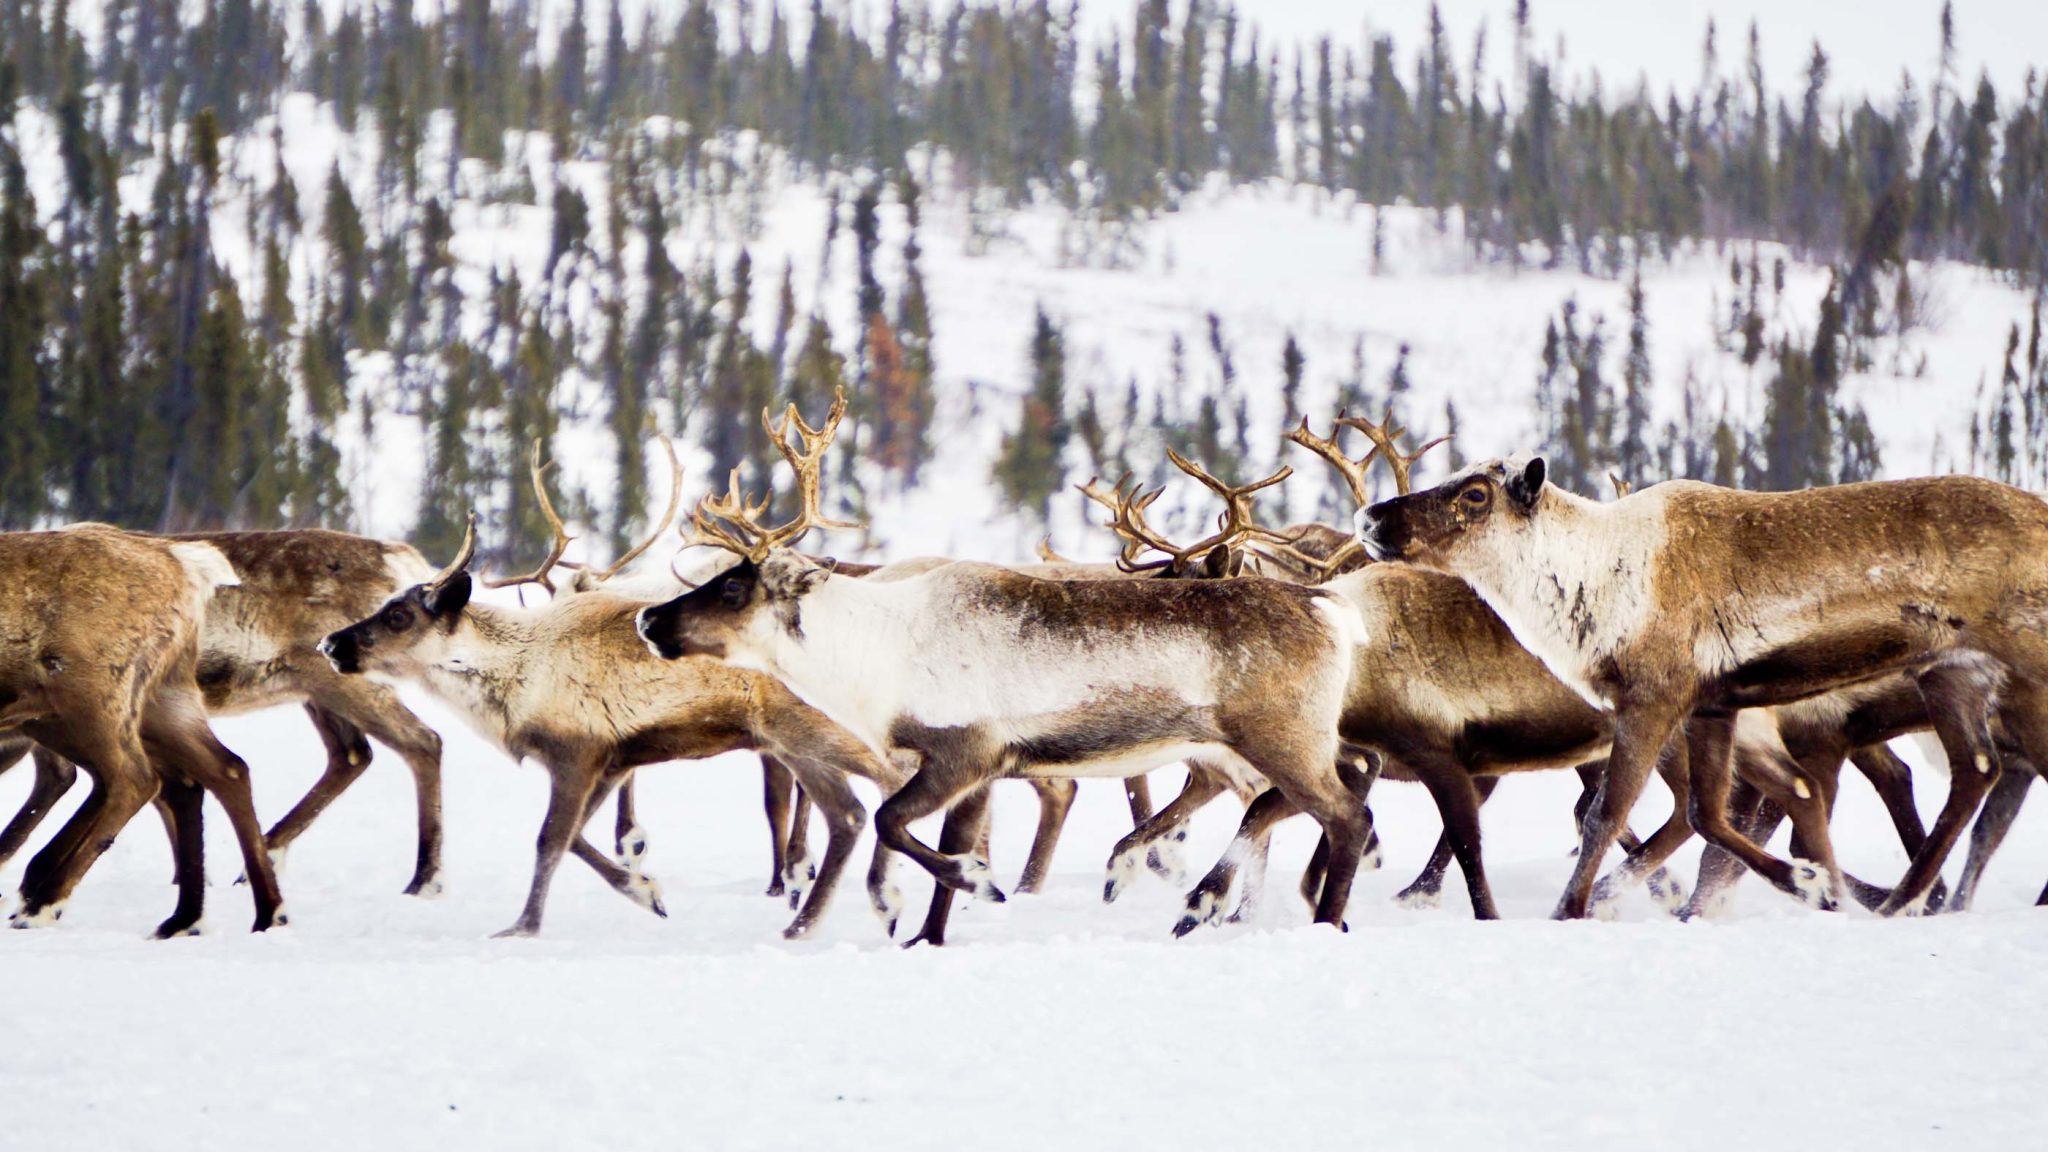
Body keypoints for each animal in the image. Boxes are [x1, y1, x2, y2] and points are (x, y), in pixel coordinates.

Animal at [0, 525, 285, 936]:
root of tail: (184, 566)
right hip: (159, 698)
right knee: (223, 770)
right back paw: (245, 914)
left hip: (91, 696)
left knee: (134, 779)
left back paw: (43, 903)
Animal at [636, 391, 1373, 946]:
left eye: (734, 587)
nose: (648, 620)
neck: (872, 653)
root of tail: (1330, 607)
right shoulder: (980, 770)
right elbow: (944, 841)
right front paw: (929, 932)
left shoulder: (961, 753)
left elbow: (894, 824)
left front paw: (971, 886)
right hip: (1276, 743)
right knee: (1317, 794)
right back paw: (1214, 903)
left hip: (1279, 738)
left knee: (1345, 814)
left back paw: (1317, 920)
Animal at [1358, 457, 2048, 918]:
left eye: (1476, 493)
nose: (1371, 515)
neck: (1591, 580)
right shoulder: (1713, 705)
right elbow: (1708, 813)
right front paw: (1807, 883)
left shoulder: (1654, 698)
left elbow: (1607, 812)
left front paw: (1568, 910)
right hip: (1951, 673)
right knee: (1976, 771)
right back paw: (1899, 901)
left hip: (2023, 671)